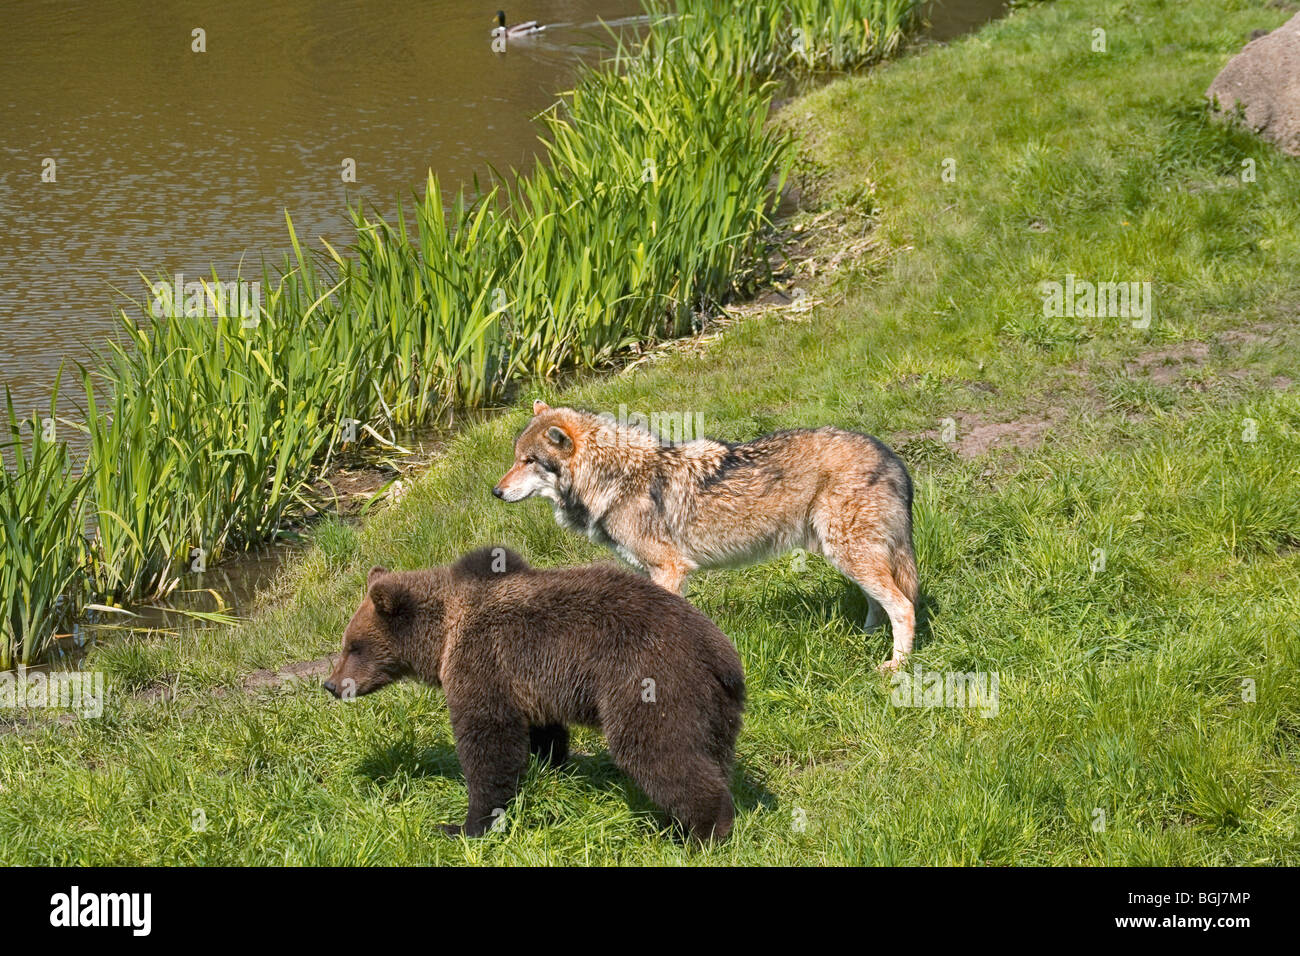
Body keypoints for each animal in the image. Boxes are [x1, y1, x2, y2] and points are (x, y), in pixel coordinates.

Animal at [322, 546, 746, 841]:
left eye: (353, 646)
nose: (330, 684)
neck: (442, 638)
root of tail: (719, 652)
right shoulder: (531, 681)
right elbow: (543, 731)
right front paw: (551, 767)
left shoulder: (483, 664)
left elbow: (489, 744)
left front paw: (464, 825)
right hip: (714, 705)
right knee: (711, 754)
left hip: (647, 682)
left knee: (659, 752)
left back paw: (703, 833)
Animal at [493, 401, 919, 672]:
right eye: (515, 459)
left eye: (528, 461)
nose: (496, 492)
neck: (613, 478)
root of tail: (891, 456)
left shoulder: (669, 569)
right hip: (848, 558)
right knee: (878, 602)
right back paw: (864, 638)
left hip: (851, 555)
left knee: (903, 606)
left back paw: (896, 665)